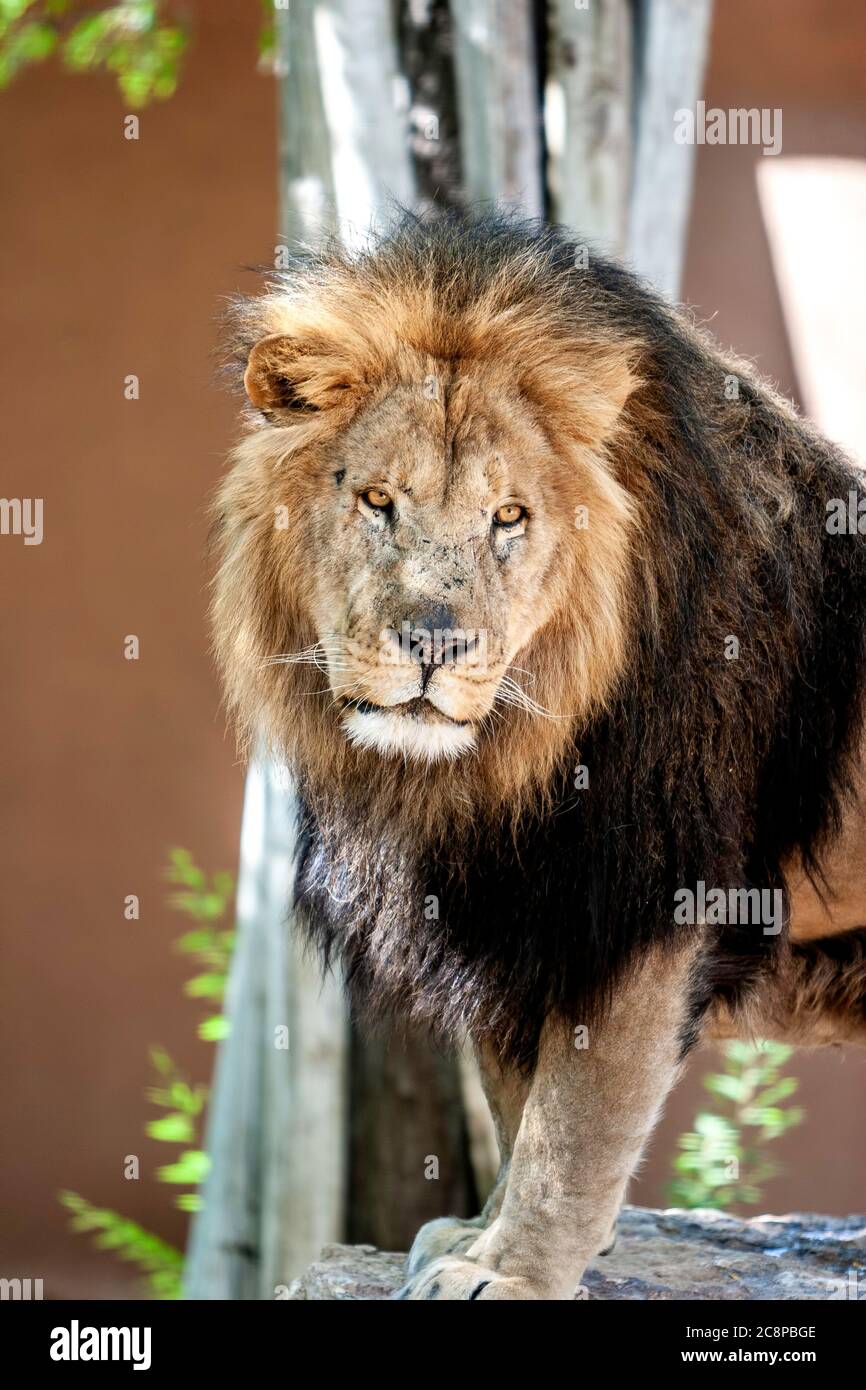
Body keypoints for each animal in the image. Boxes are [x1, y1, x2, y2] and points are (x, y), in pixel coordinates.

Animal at [212, 211, 866, 1300]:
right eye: (377, 501)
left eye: (508, 517)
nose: (434, 642)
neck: (481, 765)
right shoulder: (500, 902)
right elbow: (517, 1093)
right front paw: (477, 1234)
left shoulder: (645, 888)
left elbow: (574, 1123)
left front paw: (508, 1272)